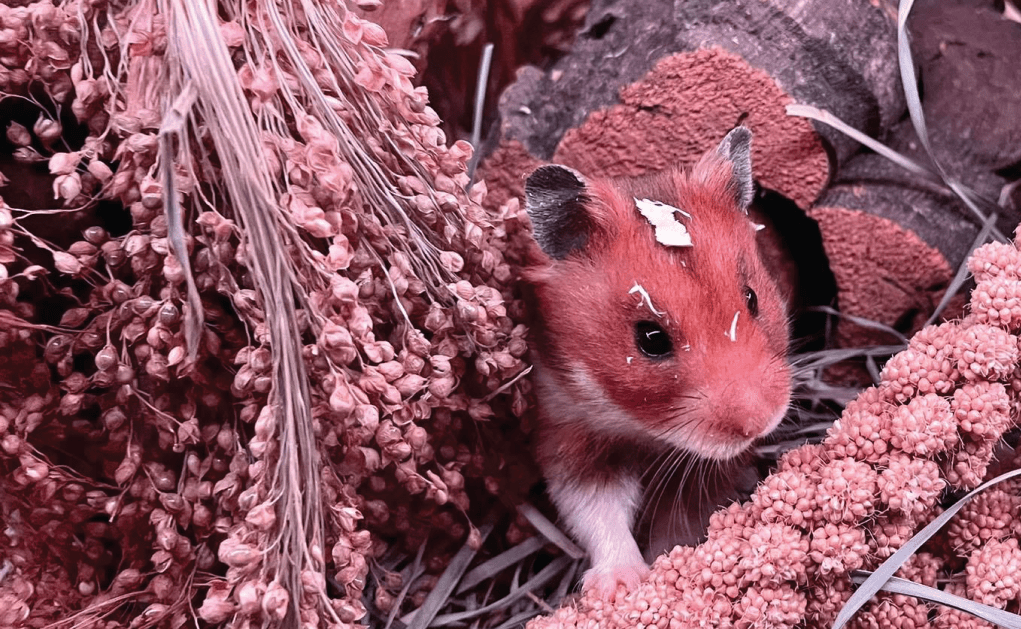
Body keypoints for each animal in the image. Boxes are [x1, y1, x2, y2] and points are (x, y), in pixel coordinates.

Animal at [521, 127, 792, 600]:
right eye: (650, 339)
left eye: (753, 298)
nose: (762, 422)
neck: (640, 425)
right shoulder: (569, 436)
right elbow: (598, 513)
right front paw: (619, 587)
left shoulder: (711, 471)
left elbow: (681, 519)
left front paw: (669, 563)